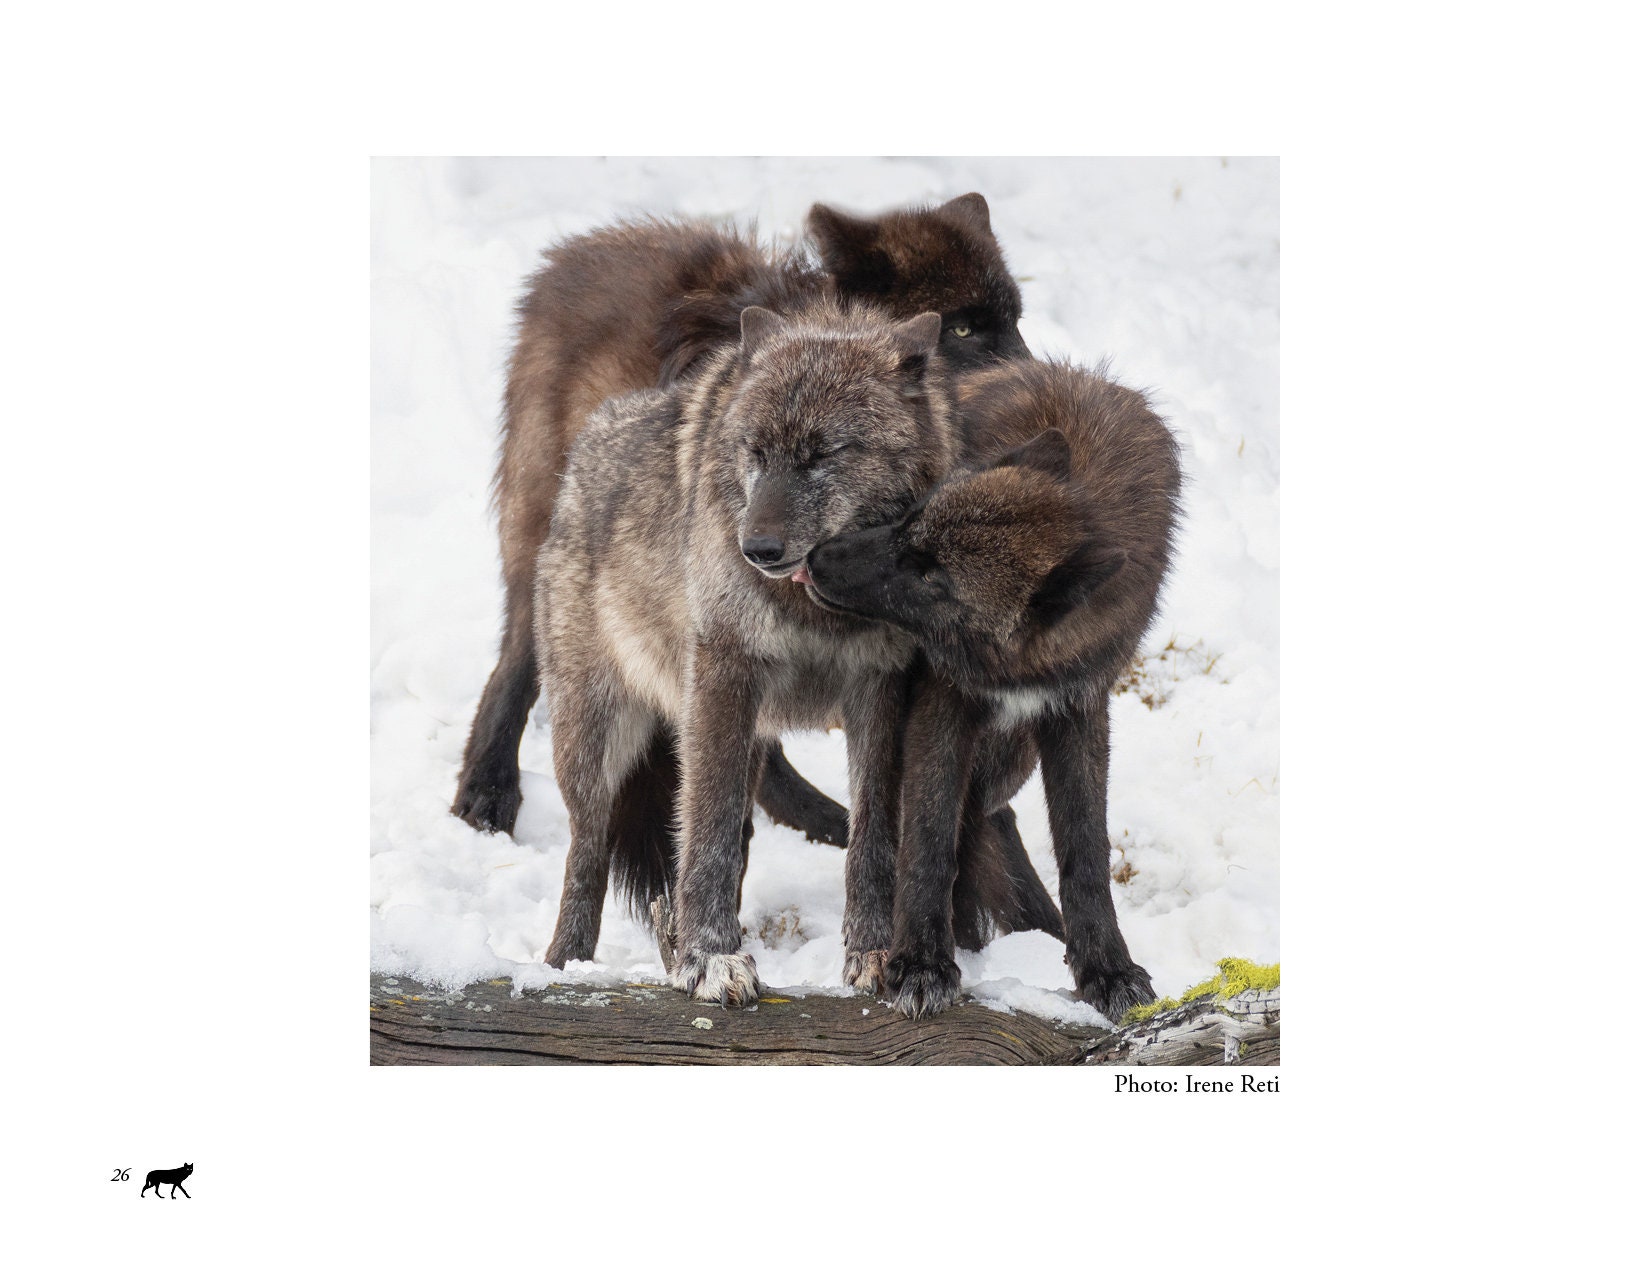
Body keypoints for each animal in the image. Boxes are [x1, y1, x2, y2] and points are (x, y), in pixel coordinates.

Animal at [452, 194, 1030, 847]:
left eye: (1016, 321)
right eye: (962, 328)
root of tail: (576, 250)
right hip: (556, 547)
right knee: (516, 665)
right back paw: (487, 789)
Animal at [537, 300, 1055, 1004]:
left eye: (824, 452)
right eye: (755, 451)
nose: (756, 548)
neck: (817, 607)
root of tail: (584, 449)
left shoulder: (881, 689)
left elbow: (872, 836)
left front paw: (873, 953)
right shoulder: (726, 675)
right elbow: (707, 834)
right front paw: (712, 961)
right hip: (597, 740)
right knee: (588, 851)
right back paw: (566, 968)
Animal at [803, 360, 1182, 1020]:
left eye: (931, 577)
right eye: (908, 519)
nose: (818, 556)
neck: (1017, 666)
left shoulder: (1078, 709)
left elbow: (1086, 852)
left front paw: (1106, 969)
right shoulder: (944, 702)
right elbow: (928, 836)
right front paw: (921, 963)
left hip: (1012, 756)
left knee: (987, 818)